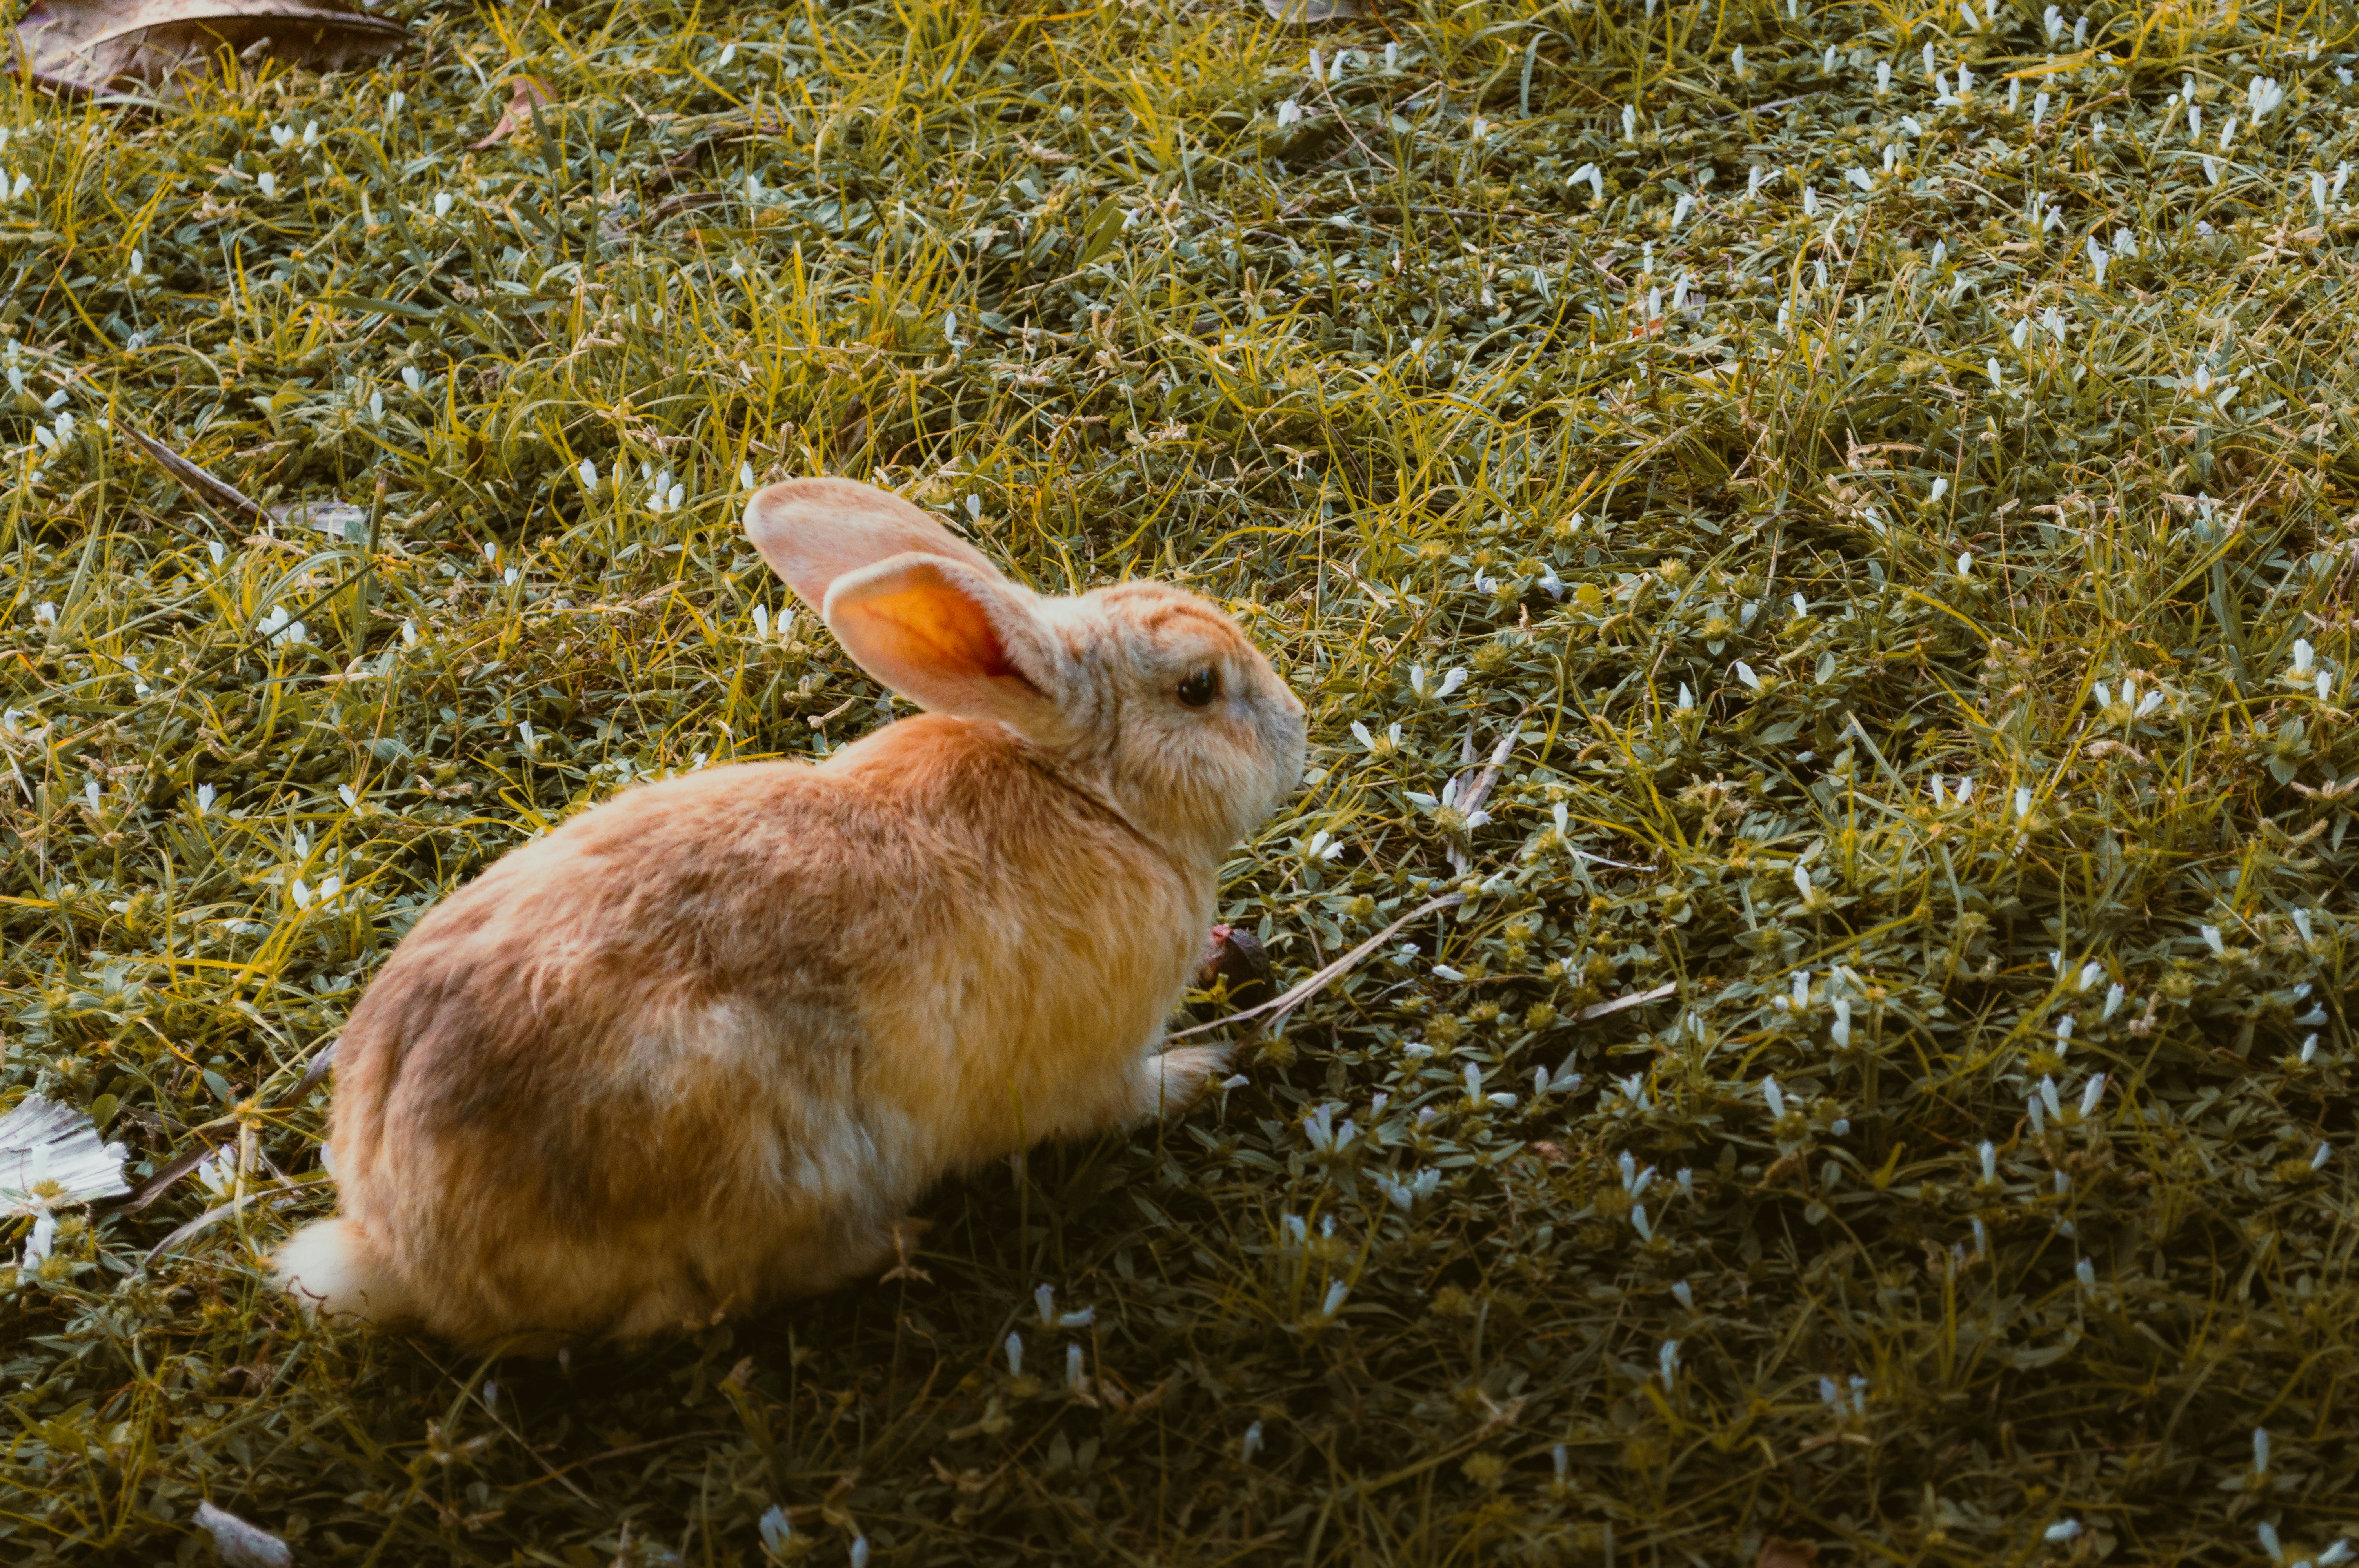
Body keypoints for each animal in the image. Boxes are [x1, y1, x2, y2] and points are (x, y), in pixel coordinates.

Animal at [271, 477, 1306, 1348]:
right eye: (1199, 689)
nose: (1297, 727)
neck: (1093, 794)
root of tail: (397, 1246)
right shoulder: (1092, 1067)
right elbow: (1120, 1099)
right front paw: (1205, 1070)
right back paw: (904, 1238)